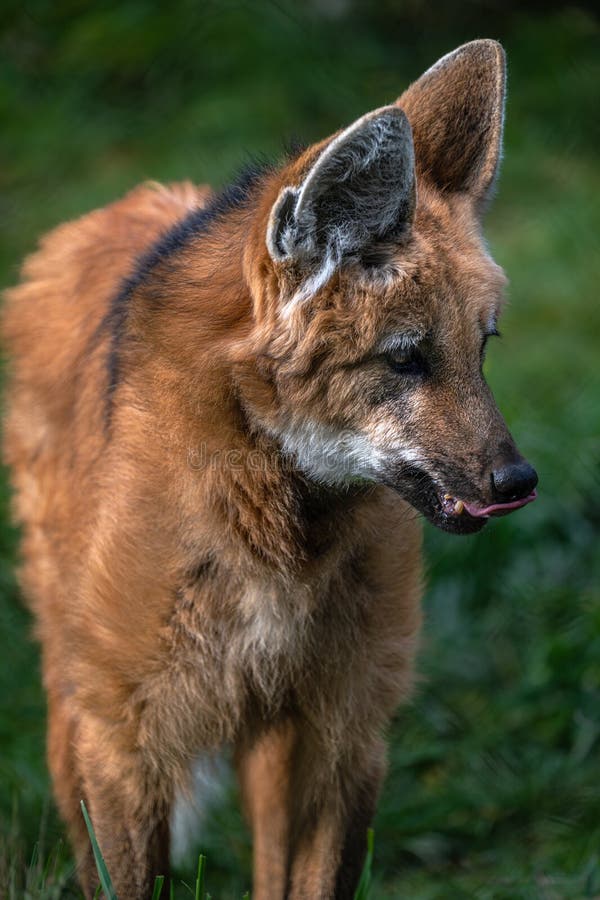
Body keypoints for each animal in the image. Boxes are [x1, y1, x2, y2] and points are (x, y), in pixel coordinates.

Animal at [2, 39, 537, 899]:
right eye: (405, 358)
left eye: (480, 349)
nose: (517, 483)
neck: (279, 540)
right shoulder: (126, 731)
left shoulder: (340, 725)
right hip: (74, 693)